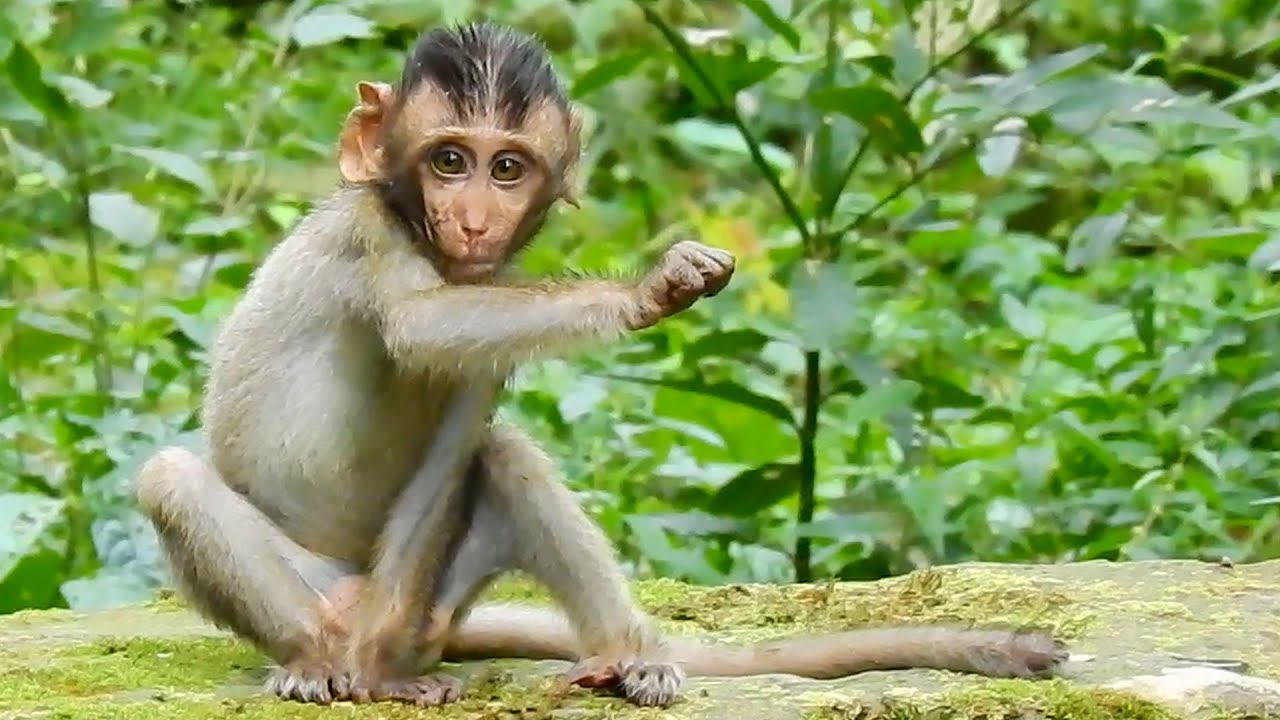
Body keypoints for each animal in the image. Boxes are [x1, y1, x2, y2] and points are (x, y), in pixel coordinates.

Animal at [133, 21, 1068, 711]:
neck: (411, 221)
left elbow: (464, 390)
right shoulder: (370, 239)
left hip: (439, 598)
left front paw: (386, 674)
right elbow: (419, 325)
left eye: (507, 167)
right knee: (170, 477)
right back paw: (323, 659)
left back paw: (608, 655)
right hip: (313, 590)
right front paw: (646, 291)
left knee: (502, 459)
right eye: (448, 160)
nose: (474, 221)